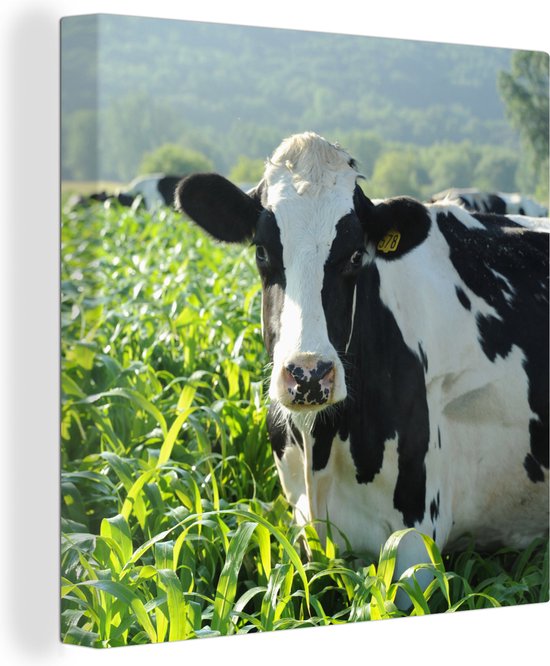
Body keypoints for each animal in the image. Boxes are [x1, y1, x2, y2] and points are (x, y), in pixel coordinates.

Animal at [174, 132, 549, 604]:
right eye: (261, 252)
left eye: (355, 256)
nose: (308, 374)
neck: (320, 447)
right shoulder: (304, 528)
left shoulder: (415, 544)